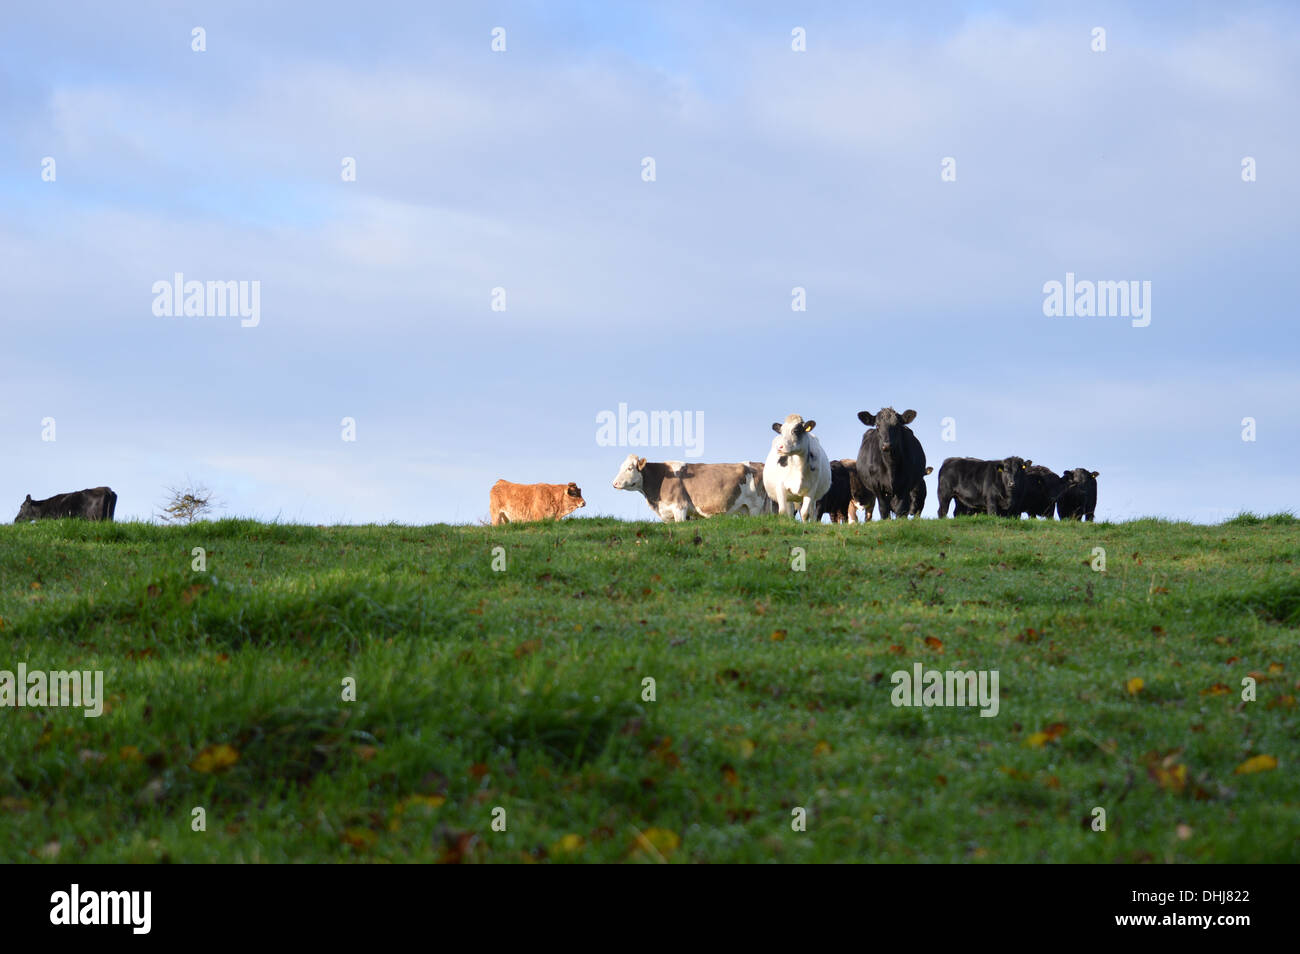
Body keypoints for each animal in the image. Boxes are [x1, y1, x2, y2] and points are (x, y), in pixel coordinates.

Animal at [612, 454, 770, 522]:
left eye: (630, 468)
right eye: (620, 467)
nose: (614, 483)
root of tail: (758, 464)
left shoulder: (680, 507)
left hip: (755, 507)